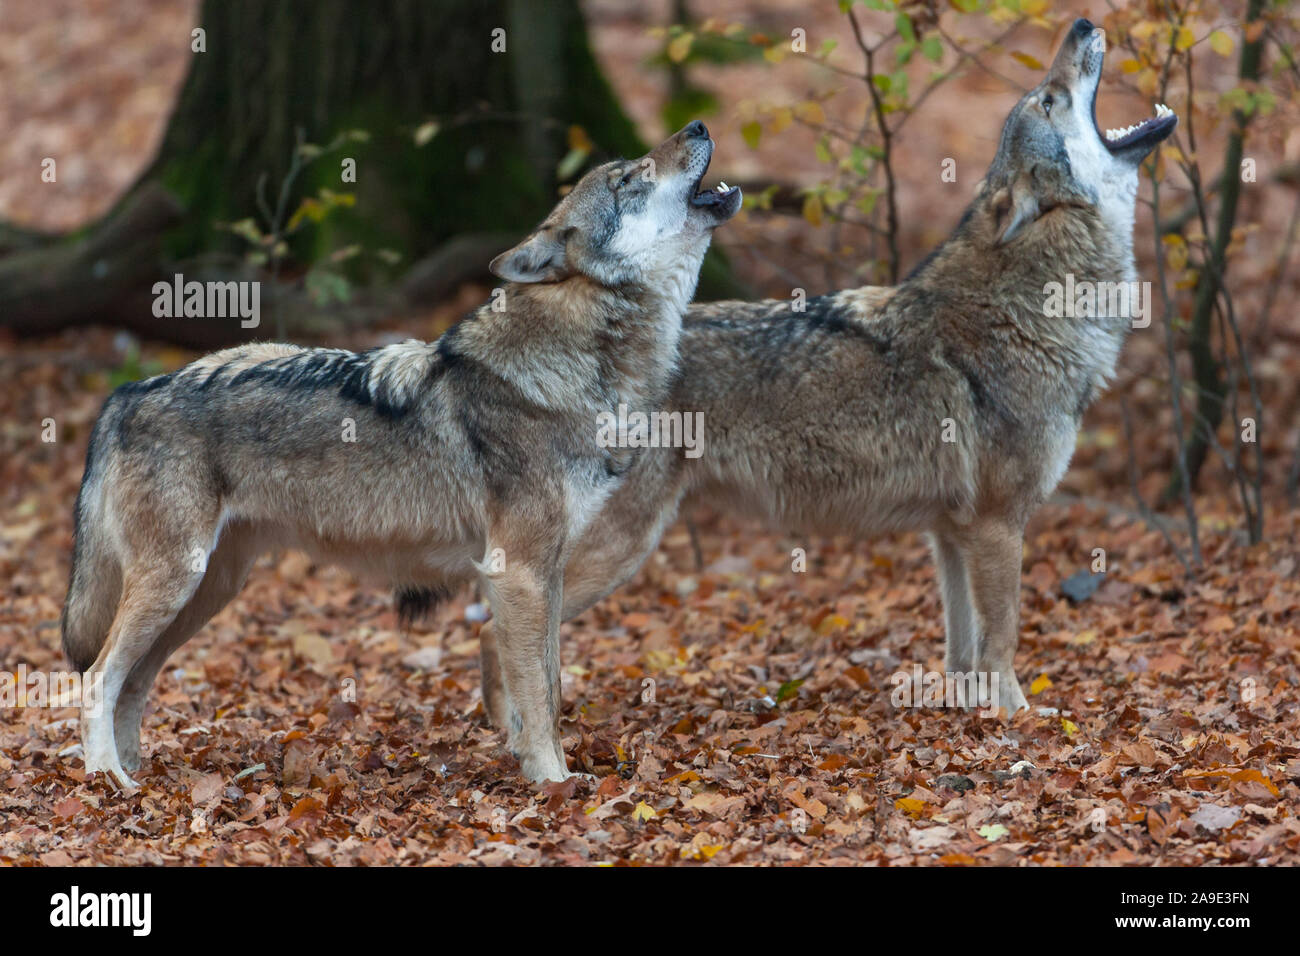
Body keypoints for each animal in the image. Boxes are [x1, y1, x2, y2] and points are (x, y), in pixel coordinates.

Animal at [61, 122, 742, 789]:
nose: (699, 125)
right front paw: (554, 784)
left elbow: (545, 684)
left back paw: (136, 778)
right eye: (630, 178)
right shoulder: (519, 572)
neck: (579, 367)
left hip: (207, 588)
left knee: (133, 681)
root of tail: (124, 395)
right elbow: (541, 696)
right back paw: (109, 783)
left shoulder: (541, 576)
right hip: (176, 581)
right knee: (97, 676)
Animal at [479, 19, 1177, 722]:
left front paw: (963, 714)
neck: (1028, 310)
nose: (1081, 24)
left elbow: (963, 649)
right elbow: (1002, 637)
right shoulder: (997, 523)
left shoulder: (952, 531)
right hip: (619, 547)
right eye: (1049, 100)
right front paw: (1015, 718)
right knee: (493, 629)